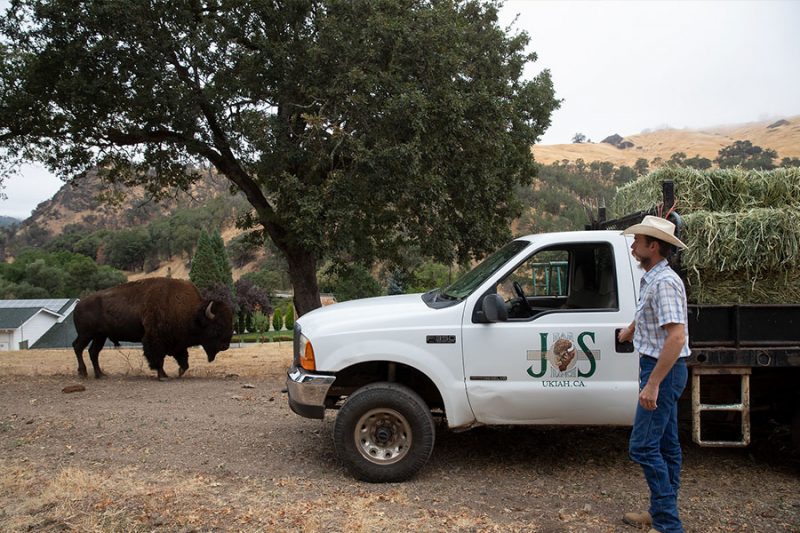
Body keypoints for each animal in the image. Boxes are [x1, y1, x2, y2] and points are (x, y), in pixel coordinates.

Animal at [73, 278, 234, 379]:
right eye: (218, 326)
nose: (225, 345)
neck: (192, 314)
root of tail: (78, 305)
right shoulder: (155, 339)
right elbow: (158, 358)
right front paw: (163, 376)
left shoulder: (178, 342)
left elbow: (184, 361)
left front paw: (179, 372)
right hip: (86, 334)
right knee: (78, 347)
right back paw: (83, 373)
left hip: (100, 336)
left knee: (93, 352)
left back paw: (100, 375)